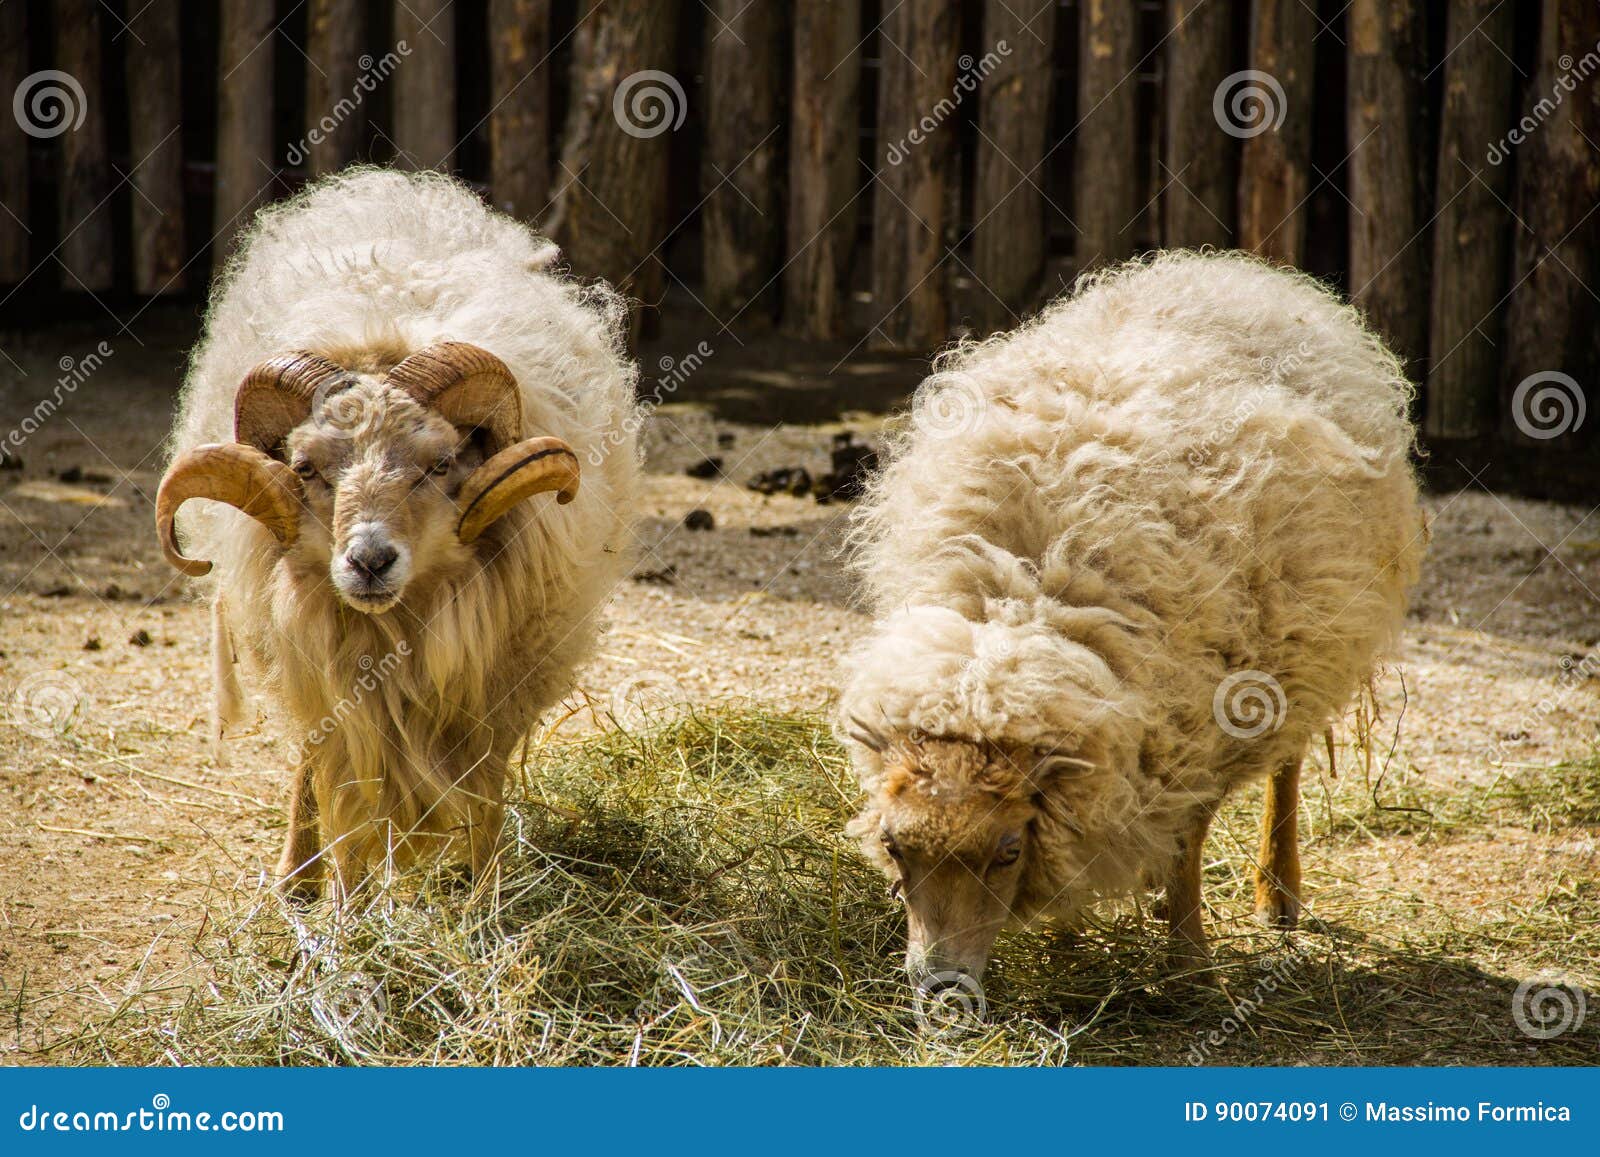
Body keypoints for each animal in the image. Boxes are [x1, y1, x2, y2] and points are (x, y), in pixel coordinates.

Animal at [155, 169, 642, 897]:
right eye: (305, 467)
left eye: (440, 464)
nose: (369, 561)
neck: (395, 632)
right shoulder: (329, 686)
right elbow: (339, 797)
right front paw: (343, 908)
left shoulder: (495, 694)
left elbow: (485, 797)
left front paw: (485, 895)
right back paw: (295, 873)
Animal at [838, 251, 1426, 983]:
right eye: (893, 845)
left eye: (1008, 850)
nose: (940, 985)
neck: (1020, 609)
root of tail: (1243, 274)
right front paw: (1068, 940)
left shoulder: (1206, 722)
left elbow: (1189, 838)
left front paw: (1189, 959)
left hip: (1307, 641)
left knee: (1288, 765)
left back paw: (1277, 891)